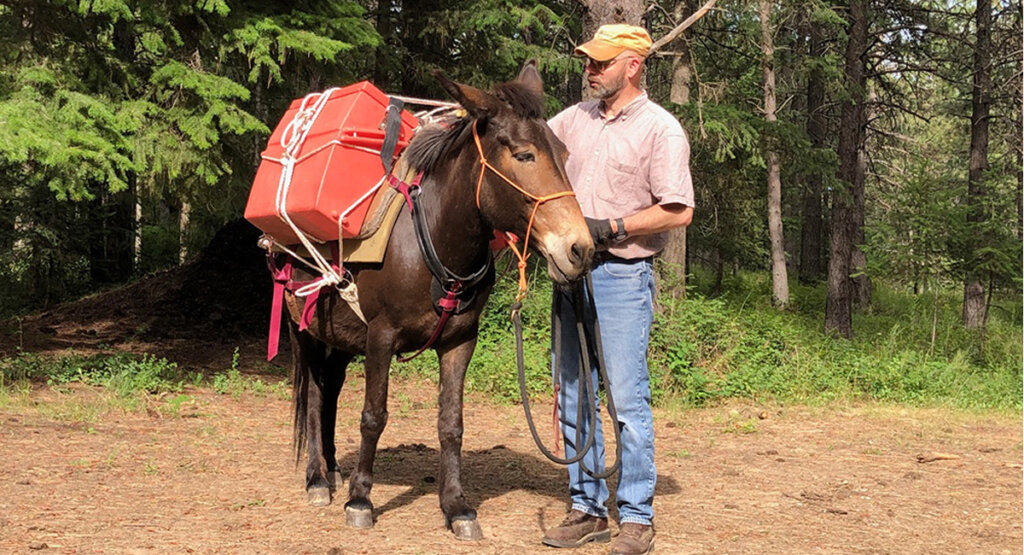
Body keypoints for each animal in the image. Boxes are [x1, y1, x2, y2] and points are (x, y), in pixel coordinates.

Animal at [283, 61, 593, 540]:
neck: (433, 238)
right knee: (315, 396)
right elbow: (373, 415)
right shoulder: (380, 336)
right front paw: (360, 499)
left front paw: (456, 506)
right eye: (524, 155)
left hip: (340, 339)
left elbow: (451, 423)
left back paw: (332, 469)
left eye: (563, 152)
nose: (580, 248)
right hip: (304, 329)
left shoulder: (459, 341)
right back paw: (318, 479)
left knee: (329, 391)